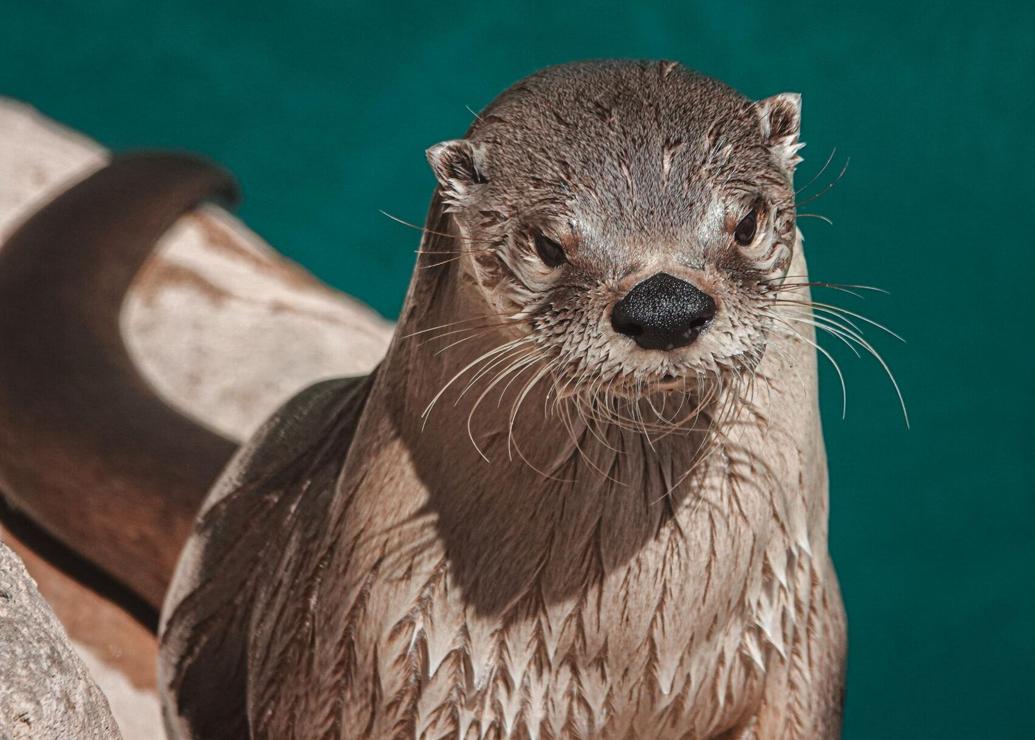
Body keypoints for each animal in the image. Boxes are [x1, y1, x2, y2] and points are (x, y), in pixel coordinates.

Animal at [3, 60, 847, 738]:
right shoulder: (386, 662)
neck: (642, 644)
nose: (664, 304)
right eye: (547, 245)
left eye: (746, 221)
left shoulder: (803, 645)